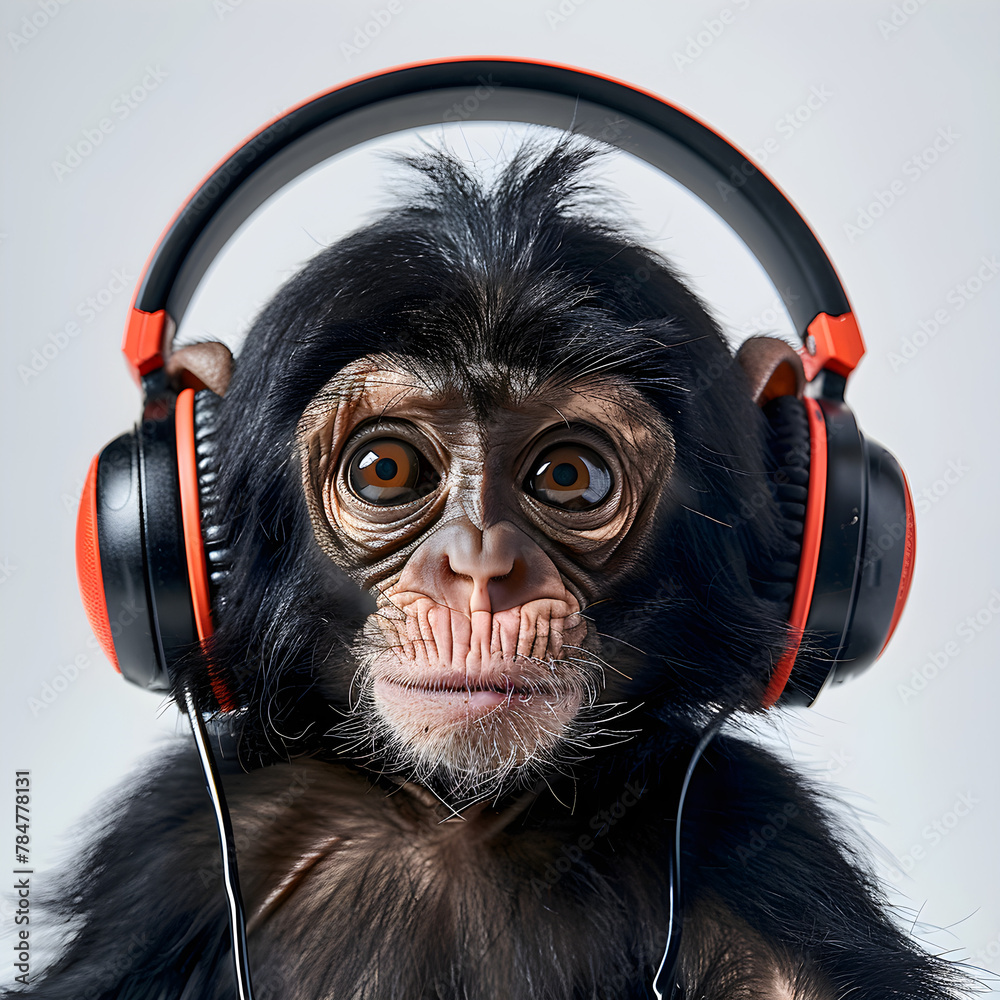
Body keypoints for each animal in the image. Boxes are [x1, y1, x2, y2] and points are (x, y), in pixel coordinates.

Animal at [10, 139, 973, 1000]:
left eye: (570, 476)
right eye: (384, 470)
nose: (478, 568)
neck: (454, 815)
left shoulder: (765, 845)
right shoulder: (169, 852)